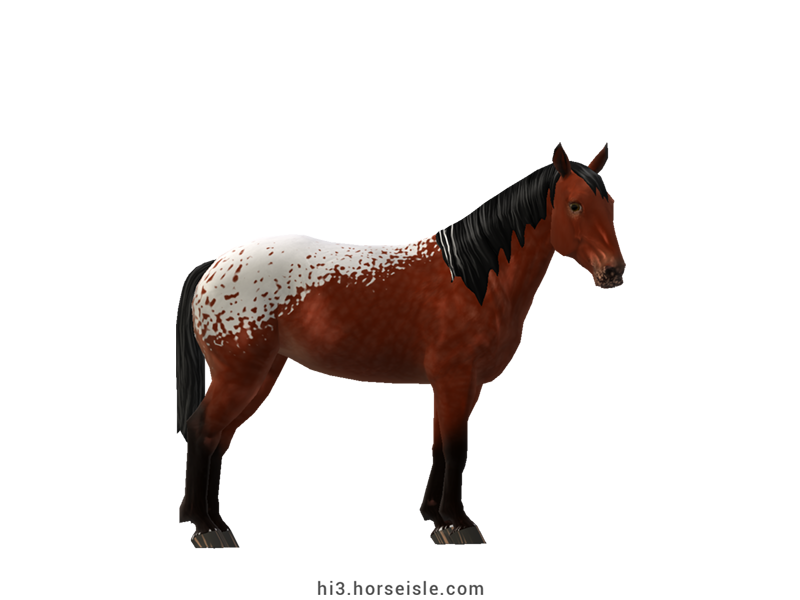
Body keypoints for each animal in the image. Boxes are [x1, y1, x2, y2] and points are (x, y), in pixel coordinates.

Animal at [177, 143, 625, 535]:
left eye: (606, 201)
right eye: (575, 205)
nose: (614, 271)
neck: (476, 279)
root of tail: (213, 268)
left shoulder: (458, 383)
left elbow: (442, 445)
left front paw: (435, 513)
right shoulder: (454, 378)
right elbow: (456, 448)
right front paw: (456, 518)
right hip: (238, 376)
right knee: (202, 431)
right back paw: (205, 524)